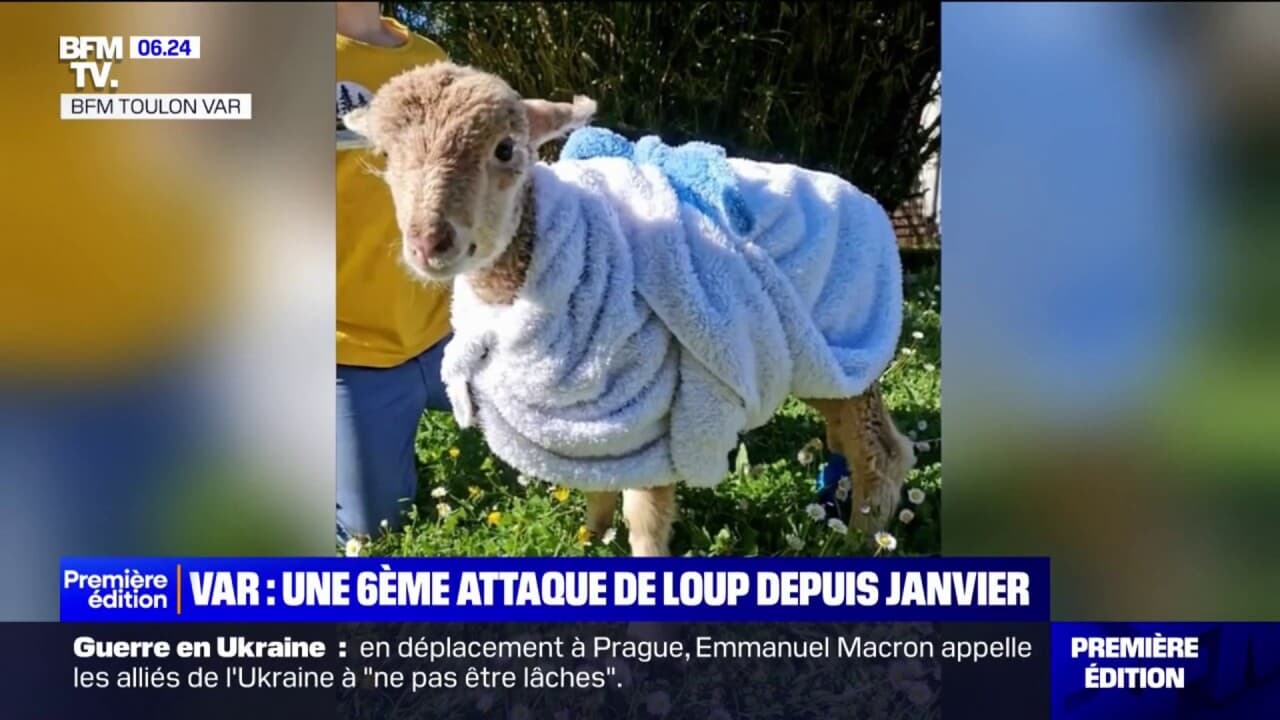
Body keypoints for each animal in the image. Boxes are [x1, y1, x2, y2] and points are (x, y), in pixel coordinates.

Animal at [342, 62, 915, 557]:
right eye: (386, 156)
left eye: (505, 149)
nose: (430, 243)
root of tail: (866, 201)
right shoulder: (591, 417)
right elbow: (598, 484)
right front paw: (589, 539)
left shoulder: (654, 402)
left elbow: (644, 517)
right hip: (816, 362)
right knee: (851, 432)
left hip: (849, 335)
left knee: (881, 450)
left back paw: (861, 538)